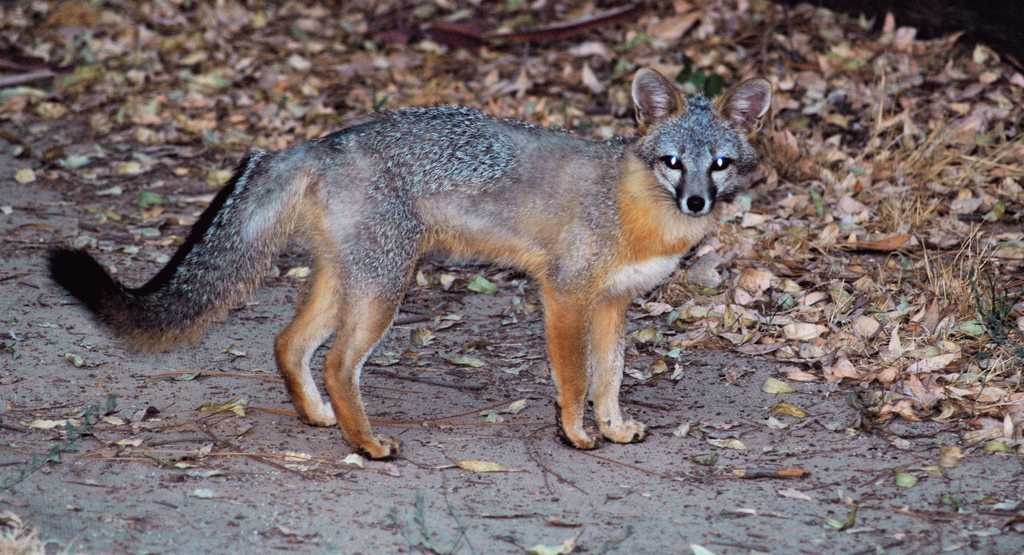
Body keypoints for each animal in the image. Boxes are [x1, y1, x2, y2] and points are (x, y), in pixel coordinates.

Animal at [48, 68, 771, 459]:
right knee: (338, 363)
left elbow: (611, 376)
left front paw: (615, 427)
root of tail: (320, 140)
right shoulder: (564, 295)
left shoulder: (614, 304)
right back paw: (366, 444)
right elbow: (574, 380)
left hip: (354, 280)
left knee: (288, 344)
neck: (636, 207)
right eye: (673, 161)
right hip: (386, 288)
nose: (698, 199)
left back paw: (322, 419)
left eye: (719, 163)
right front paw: (577, 434)